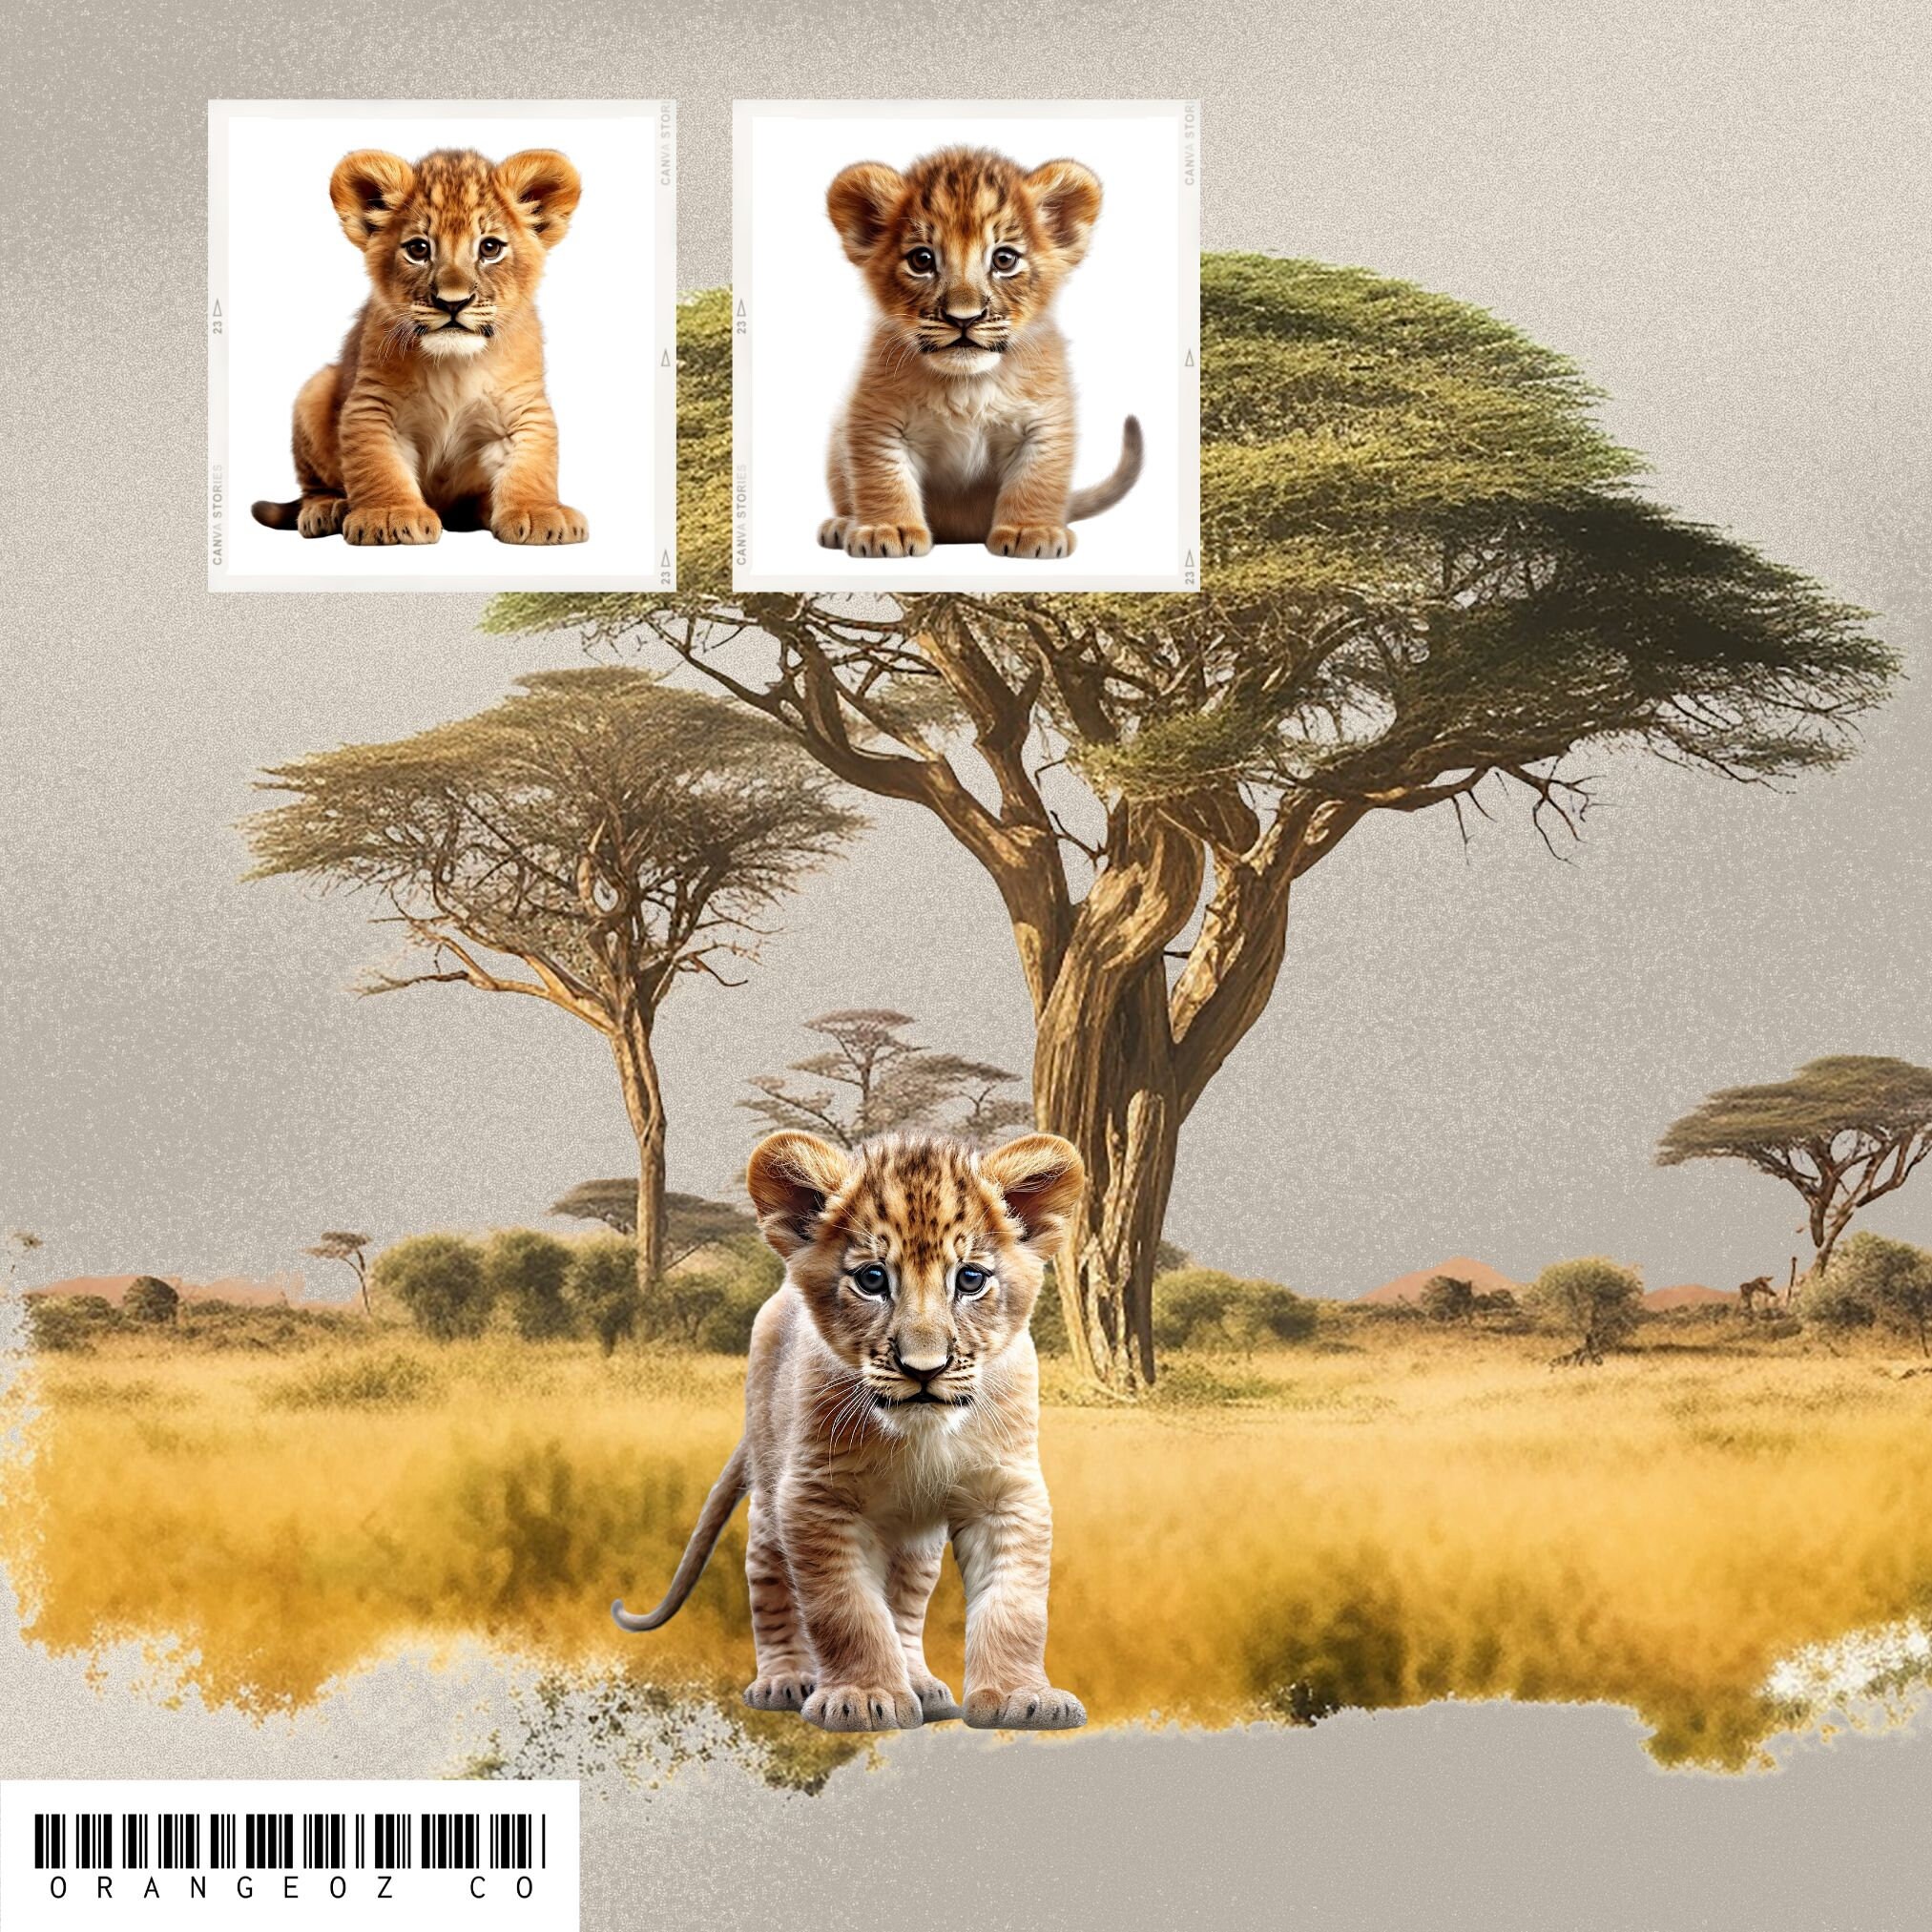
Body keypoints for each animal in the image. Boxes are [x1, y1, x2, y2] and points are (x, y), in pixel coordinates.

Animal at [251, 147, 587, 547]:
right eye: (418, 249)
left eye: (490, 248)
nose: (453, 302)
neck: (454, 367)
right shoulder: (372, 405)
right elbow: (378, 465)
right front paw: (389, 515)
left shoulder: (523, 408)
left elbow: (533, 463)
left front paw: (540, 512)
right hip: (314, 391)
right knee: (315, 486)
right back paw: (326, 510)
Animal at [612, 1128, 1089, 1734]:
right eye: (872, 1279)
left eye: (971, 1280)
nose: (924, 1368)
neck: (917, 1438)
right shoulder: (816, 1497)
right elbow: (846, 1610)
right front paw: (863, 1697)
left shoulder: (1006, 1492)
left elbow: (1015, 1604)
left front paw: (1021, 1697)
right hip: (769, 1494)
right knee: (769, 1582)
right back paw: (786, 1680)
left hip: (916, 1541)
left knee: (906, 1607)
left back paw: (922, 1684)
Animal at [818, 145, 1141, 561]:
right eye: (921, 260)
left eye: (1004, 259)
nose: (964, 318)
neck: (967, 386)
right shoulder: (877, 419)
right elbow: (882, 477)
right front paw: (887, 529)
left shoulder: (1045, 423)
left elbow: (1036, 479)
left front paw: (1030, 531)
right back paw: (842, 525)